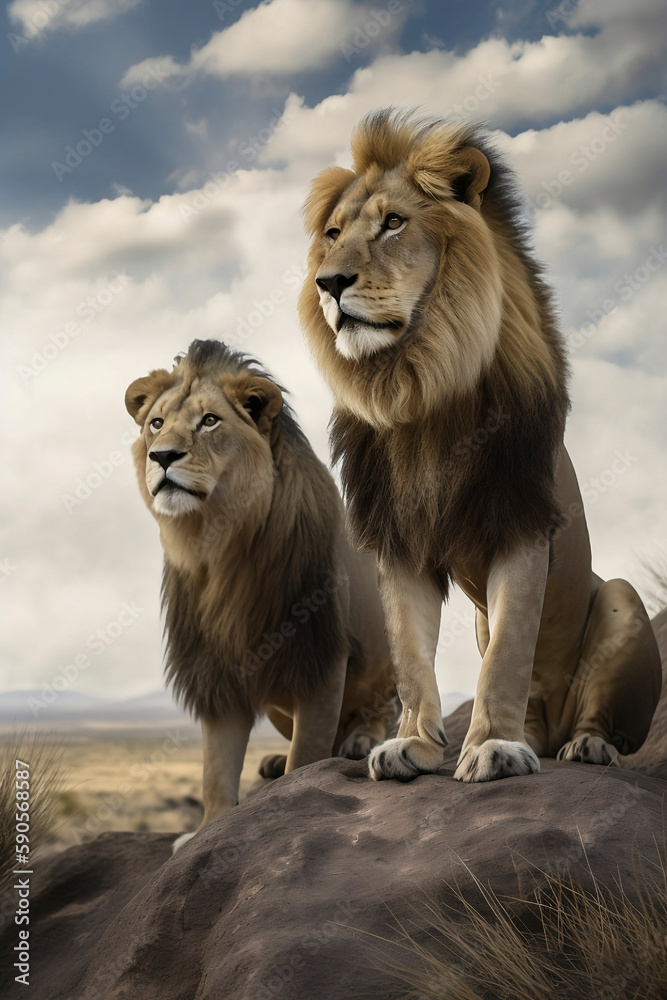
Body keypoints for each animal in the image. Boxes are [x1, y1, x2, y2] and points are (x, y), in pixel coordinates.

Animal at [125, 339, 397, 848]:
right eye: (156, 423)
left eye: (209, 421)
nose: (162, 456)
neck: (219, 546)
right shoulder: (215, 670)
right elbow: (215, 768)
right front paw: (204, 832)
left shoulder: (319, 654)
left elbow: (307, 753)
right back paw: (272, 762)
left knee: (379, 711)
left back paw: (361, 741)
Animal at [298, 109, 662, 784]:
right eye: (332, 234)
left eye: (393, 222)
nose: (328, 282)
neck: (419, 391)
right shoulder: (400, 543)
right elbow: (411, 660)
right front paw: (412, 745)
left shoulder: (521, 523)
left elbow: (507, 654)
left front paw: (494, 746)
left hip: (622, 598)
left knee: (603, 721)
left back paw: (585, 746)